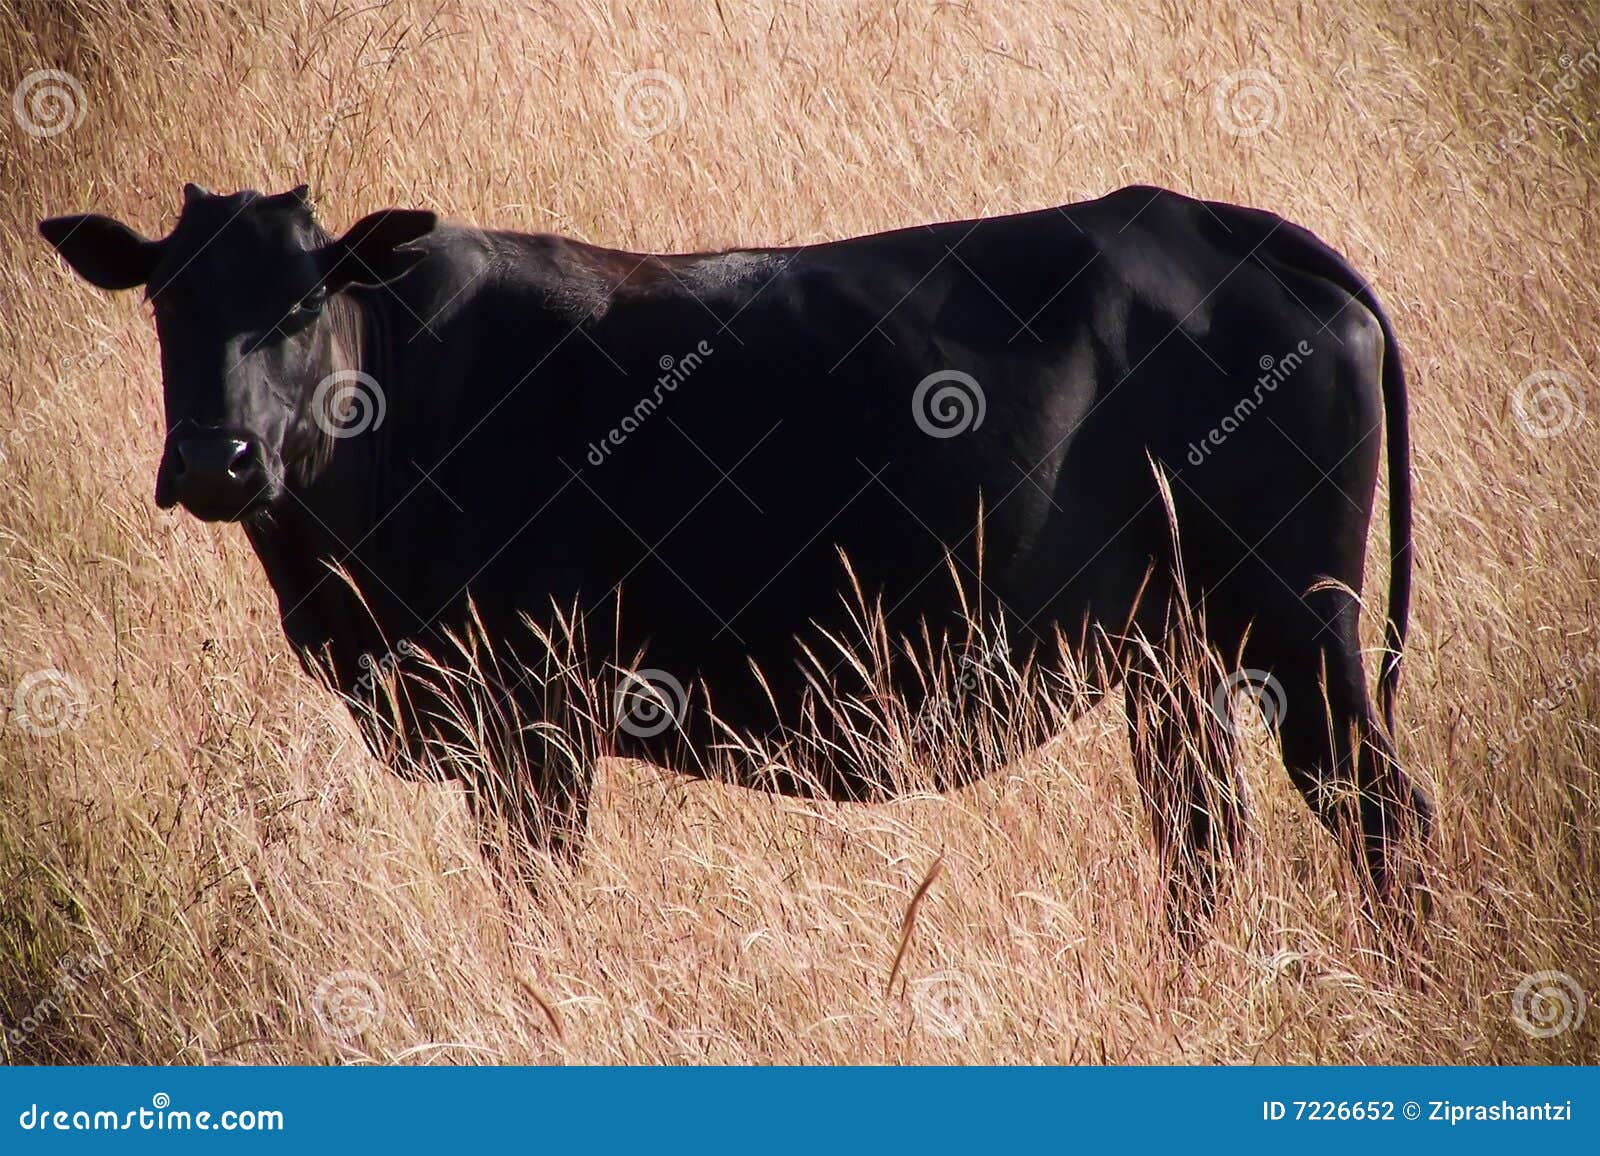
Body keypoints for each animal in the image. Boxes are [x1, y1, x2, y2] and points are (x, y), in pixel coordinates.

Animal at [40, 182, 1433, 938]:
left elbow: (536, 897)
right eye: (168, 300)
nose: (217, 457)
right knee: (1202, 837)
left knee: (1381, 815)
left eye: (299, 303)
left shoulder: (537, 717)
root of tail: (1219, 225)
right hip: (1170, 650)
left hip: (1297, 627)